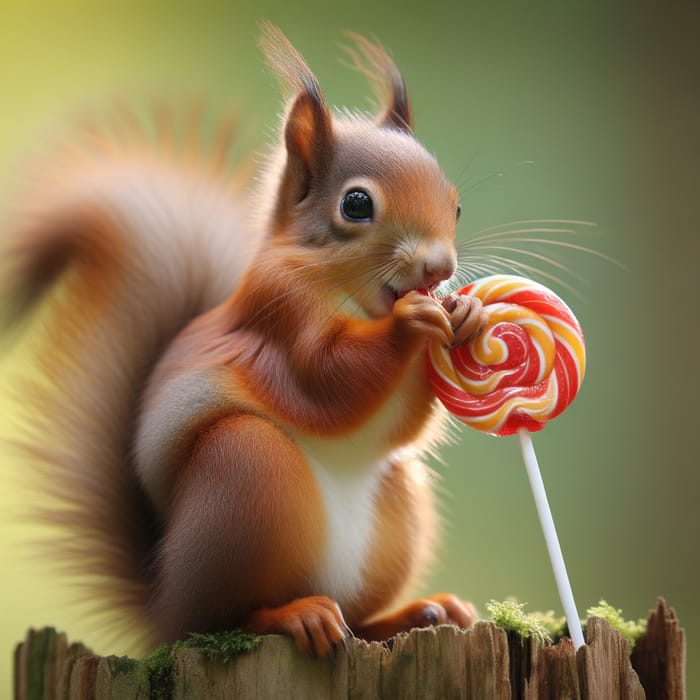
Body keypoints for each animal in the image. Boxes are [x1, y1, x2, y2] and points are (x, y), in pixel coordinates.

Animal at [1, 24, 487, 656]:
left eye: (456, 205)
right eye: (357, 204)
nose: (439, 267)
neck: (348, 295)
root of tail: (162, 604)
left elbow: (398, 423)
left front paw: (466, 313)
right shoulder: (277, 320)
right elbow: (328, 382)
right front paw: (410, 323)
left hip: (395, 508)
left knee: (357, 617)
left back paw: (418, 613)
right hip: (246, 476)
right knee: (221, 617)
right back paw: (294, 616)